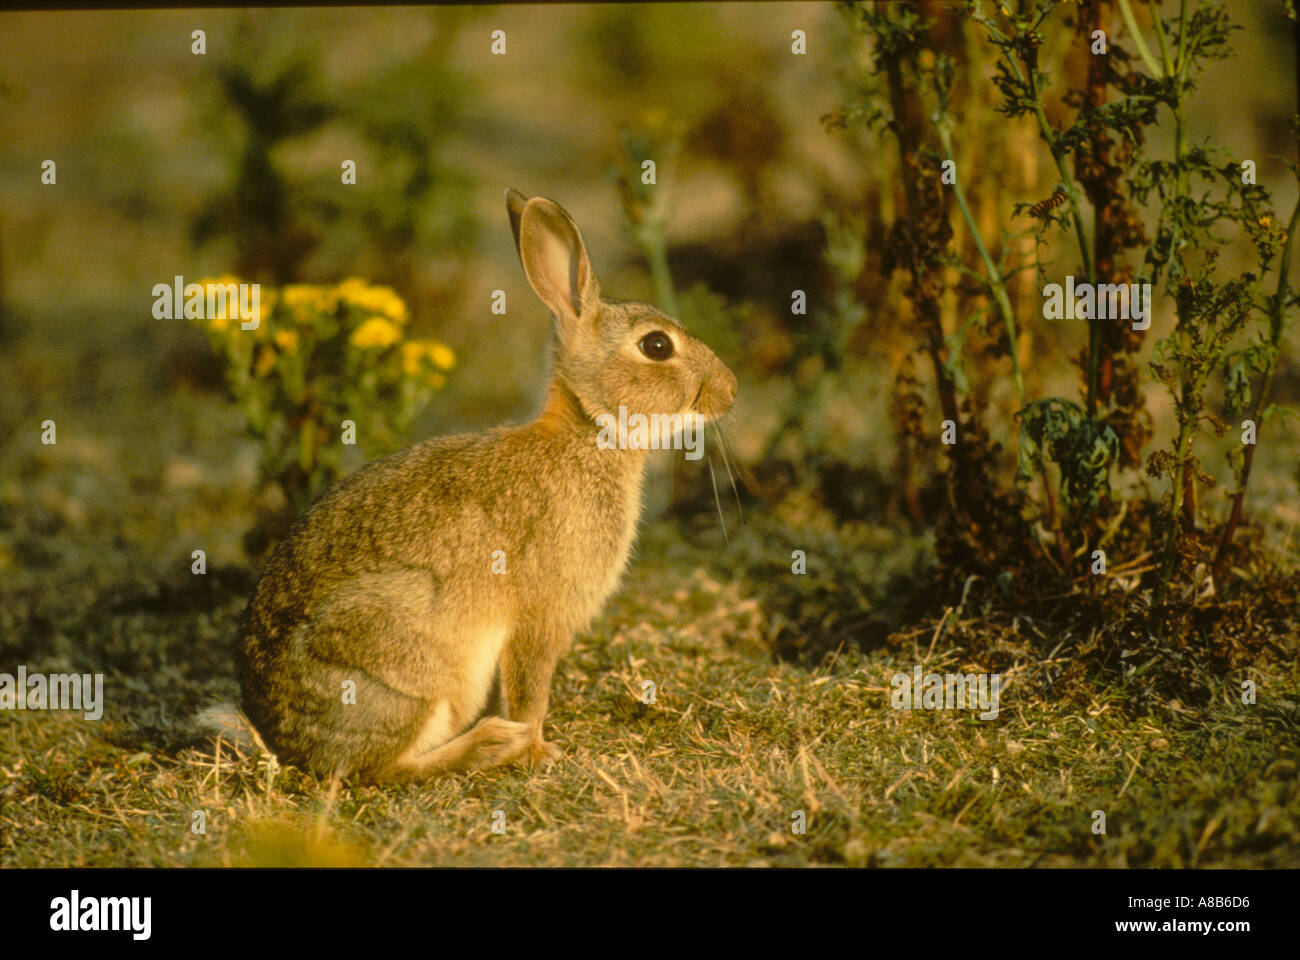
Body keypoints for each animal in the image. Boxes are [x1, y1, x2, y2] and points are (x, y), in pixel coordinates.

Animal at [229, 188, 738, 783]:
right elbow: (530, 691)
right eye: (657, 346)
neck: (589, 432)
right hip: (414, 669)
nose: (730, 391)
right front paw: (538, 750)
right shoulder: (540, 615)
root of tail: (283, 738)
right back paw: (492, 744)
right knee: (382, 767)